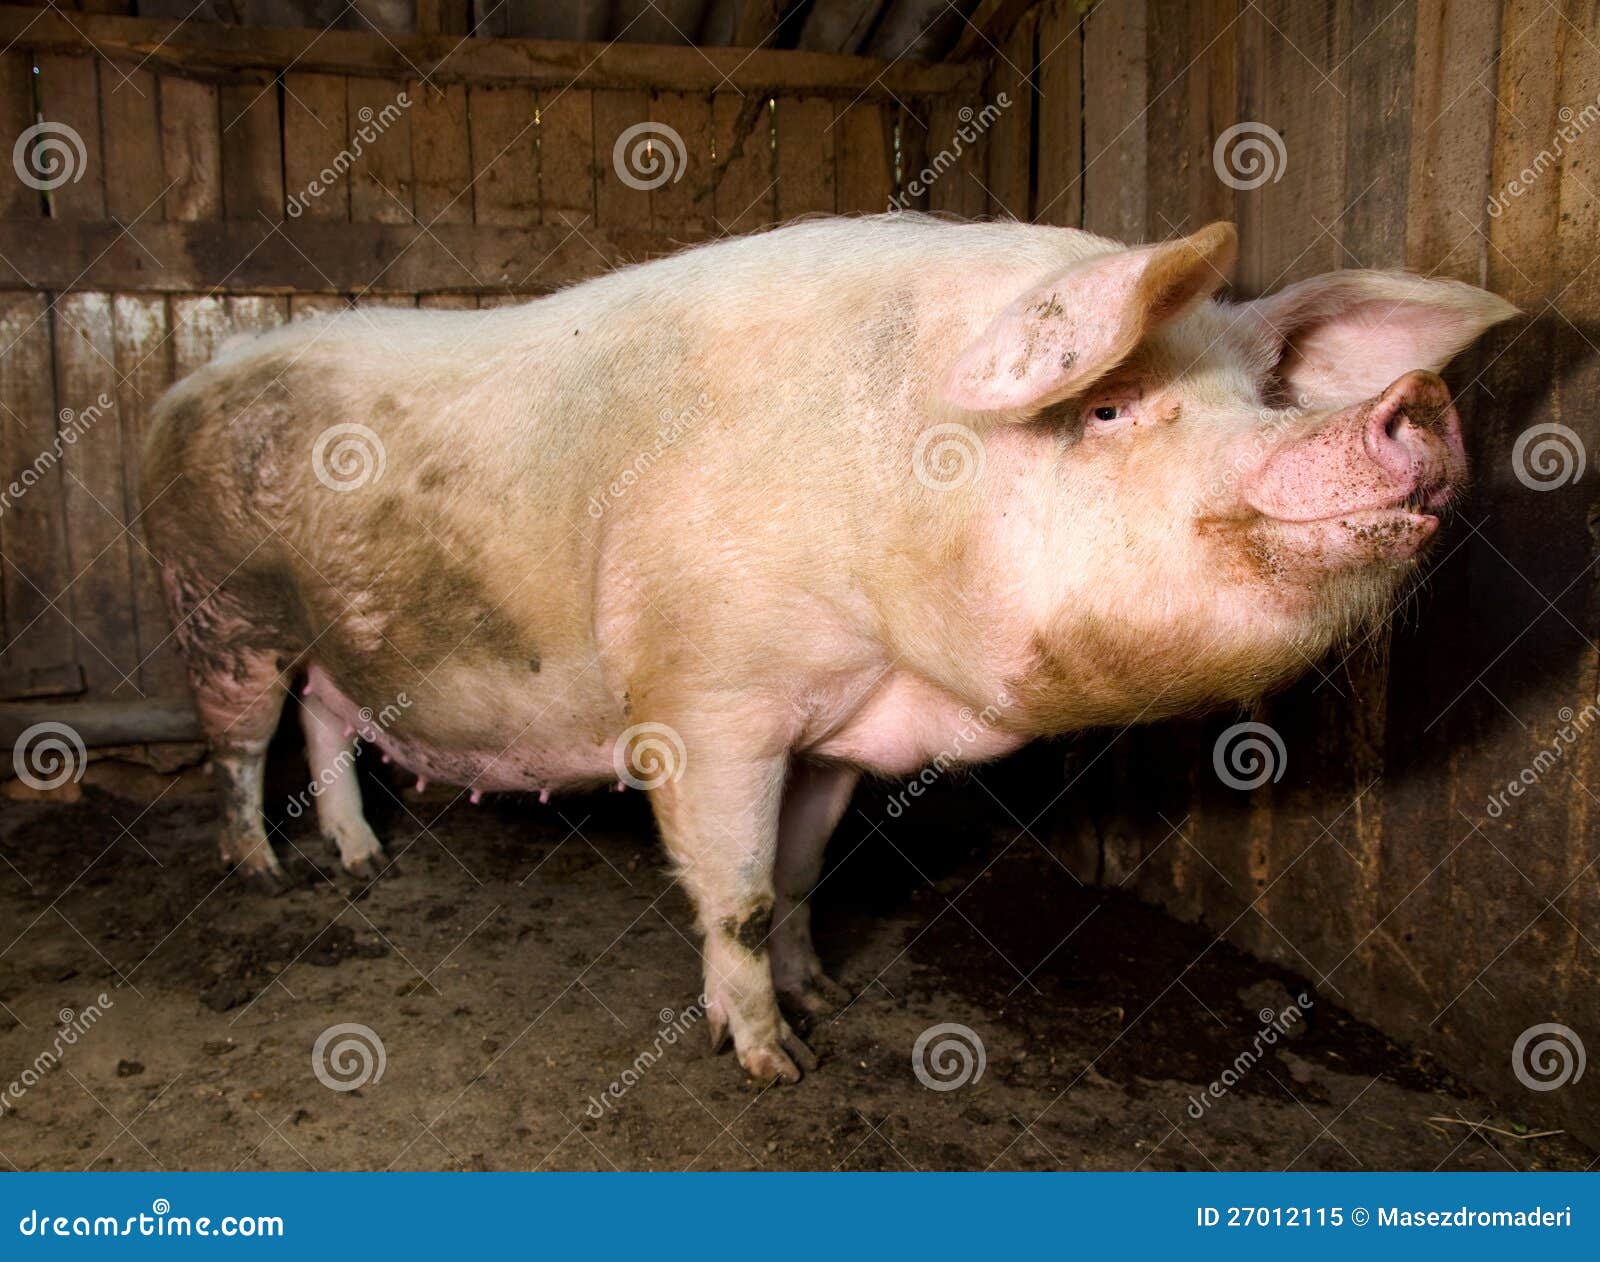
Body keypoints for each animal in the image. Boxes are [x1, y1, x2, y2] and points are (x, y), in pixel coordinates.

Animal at [142, 214, 1515, 1083]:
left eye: (1267, 395)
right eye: (1109, 405)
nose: (1416, 402)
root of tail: (188, 380)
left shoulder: (840, 732)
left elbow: (804, 875)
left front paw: (829, 997)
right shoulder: (709, 699)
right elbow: (740, 893)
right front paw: (770, 1061)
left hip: (326, 636)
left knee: (327, 718)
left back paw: (363, 859)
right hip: (215, 603)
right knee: (238, 743)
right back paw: (264, 873)